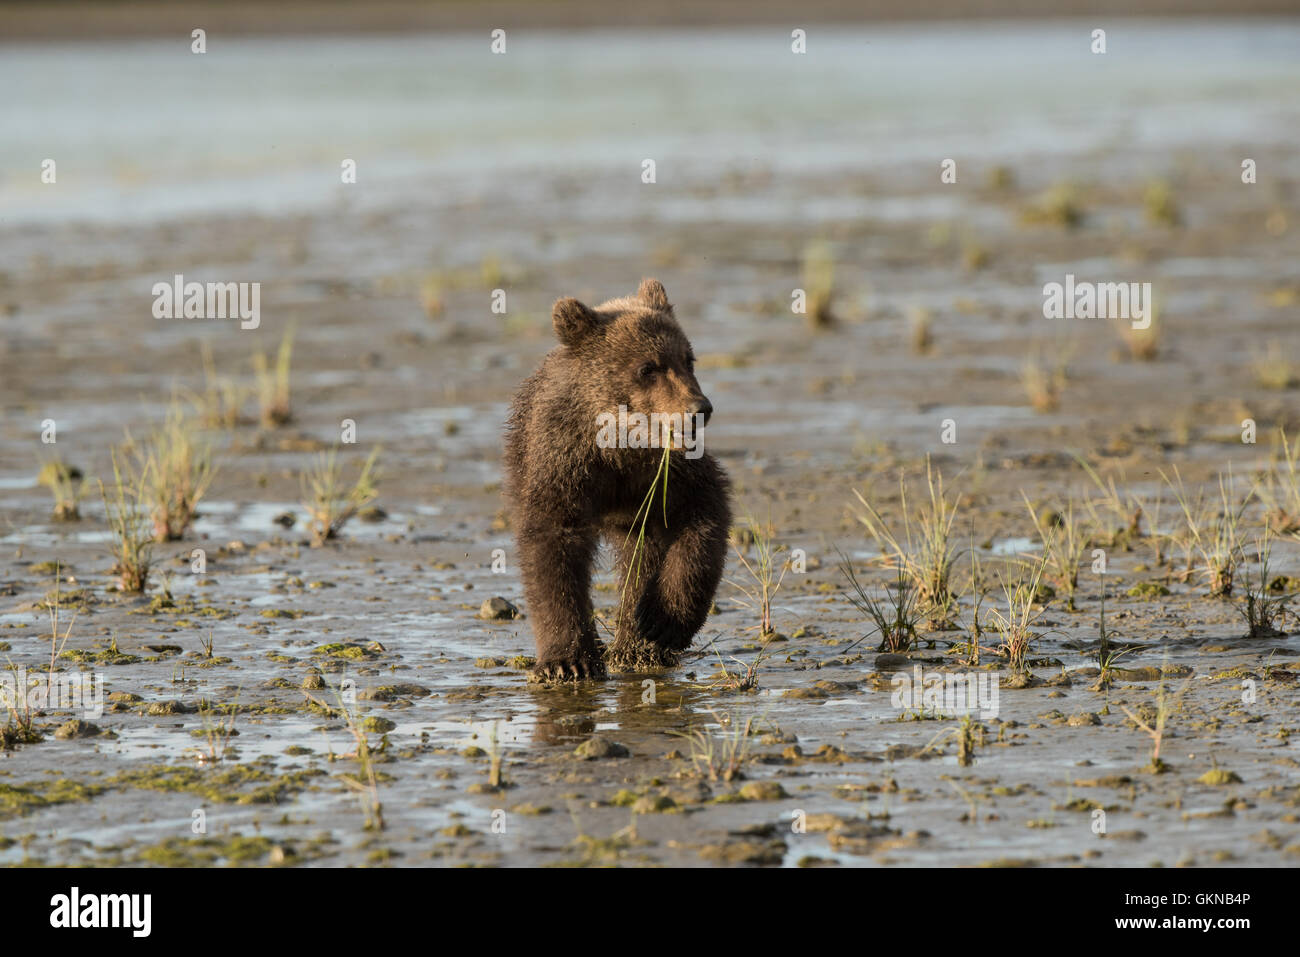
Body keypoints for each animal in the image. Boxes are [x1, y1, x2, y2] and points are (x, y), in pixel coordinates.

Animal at [503, 278, 731, 681]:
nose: (699, 409)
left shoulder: (668, 473)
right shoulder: (564, 464)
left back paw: (636, 647)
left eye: (688, 359)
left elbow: (703, 519)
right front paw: (567, 662)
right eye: (647, 367)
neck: (620, 448)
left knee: (641, 557)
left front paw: (661, 622)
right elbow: (552, 545)